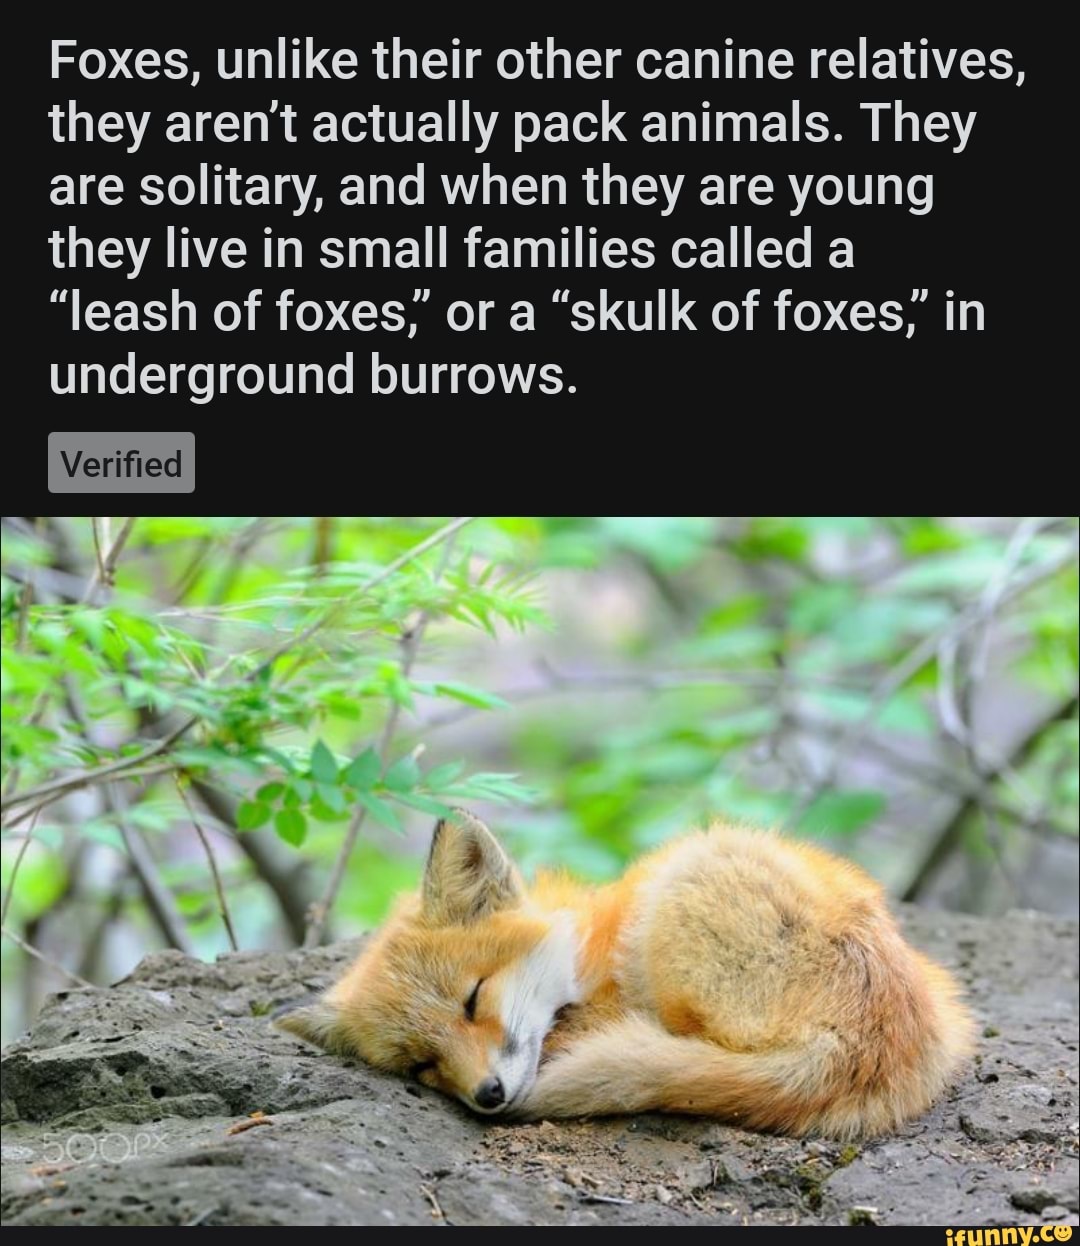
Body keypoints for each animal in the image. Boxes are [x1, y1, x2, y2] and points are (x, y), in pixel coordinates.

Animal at [277, 809, 974, 1138]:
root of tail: (869, 1045)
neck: (588, 946)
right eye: (422, 1066)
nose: (488, 1096)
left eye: (473, 999)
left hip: (689, 872)